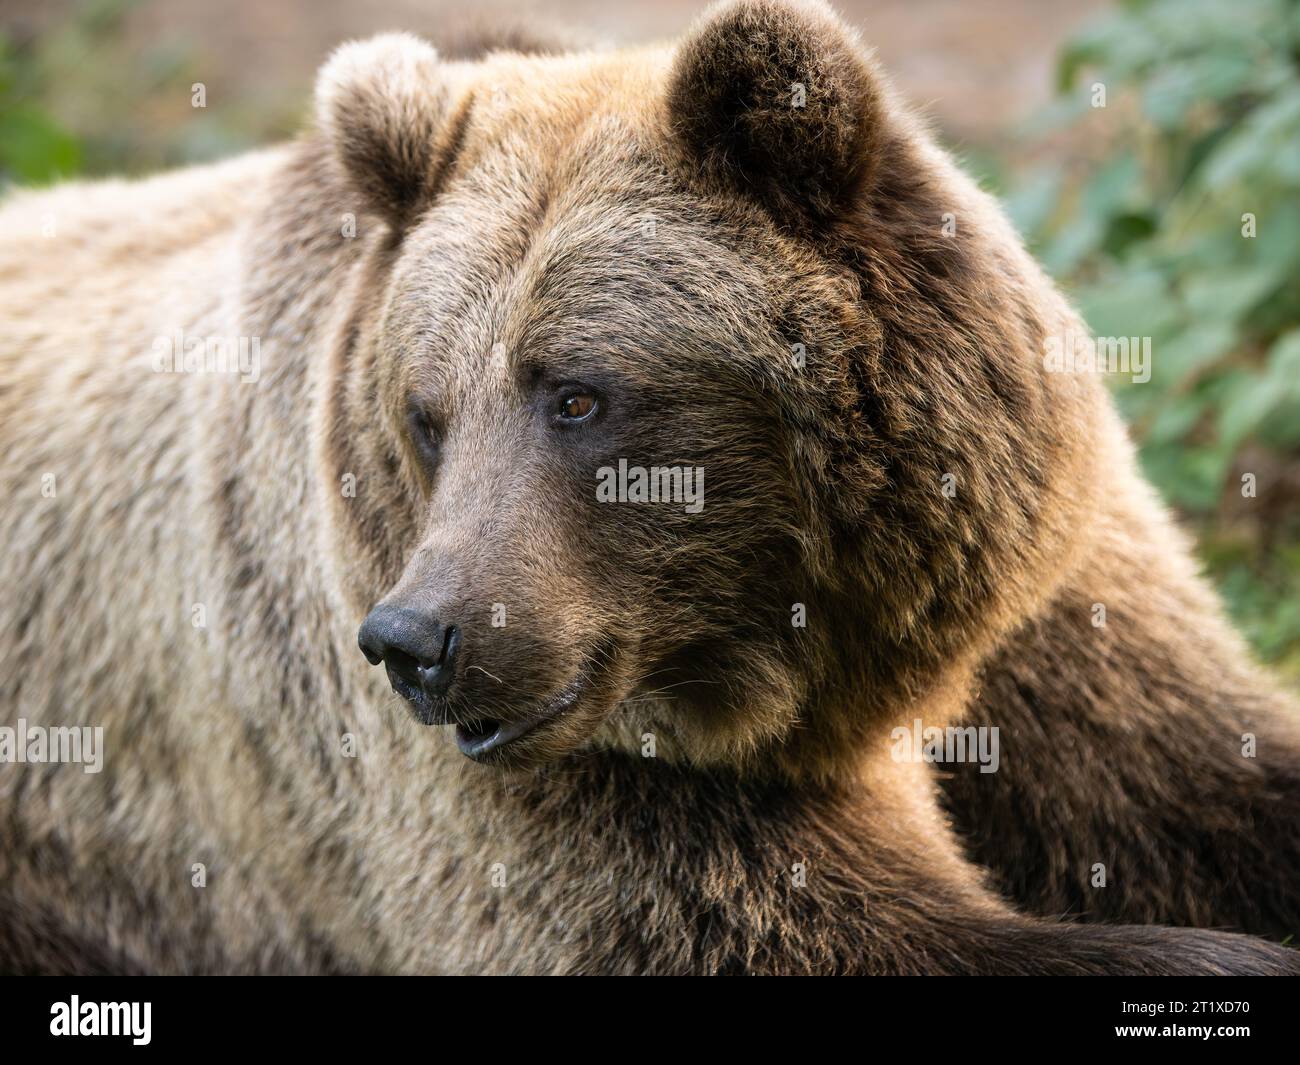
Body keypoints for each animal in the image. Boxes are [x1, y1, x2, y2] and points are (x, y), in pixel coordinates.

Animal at [0, 0, 1297, 974]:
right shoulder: (553, 755)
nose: (417, 641)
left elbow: (1198, 775)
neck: (830, 662)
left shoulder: (1038, 609)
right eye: (426, 414)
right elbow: (763, 922)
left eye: (578, 395)